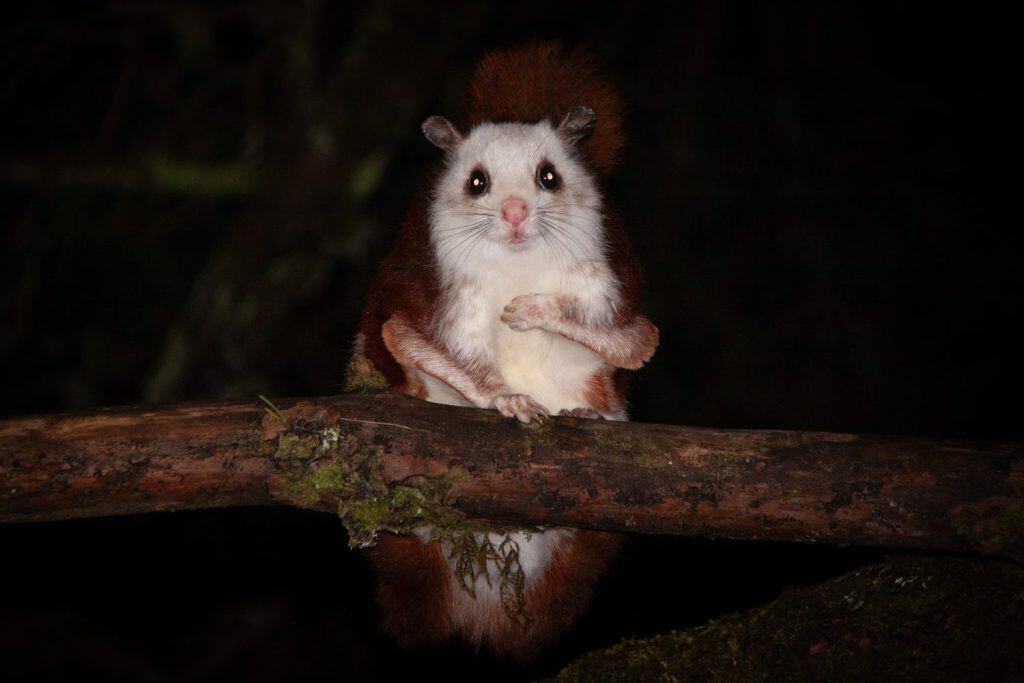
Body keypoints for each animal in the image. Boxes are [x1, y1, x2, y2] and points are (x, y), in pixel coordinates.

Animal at [347, 43, 659, 660]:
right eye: (476, 182)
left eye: (548, 176)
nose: (515, 213)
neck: (518, 263)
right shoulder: (427, 300)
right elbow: (416, 343)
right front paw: (506, 399)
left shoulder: (615, 291)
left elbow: (630, 343)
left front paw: (531, 311)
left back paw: (588, 411)